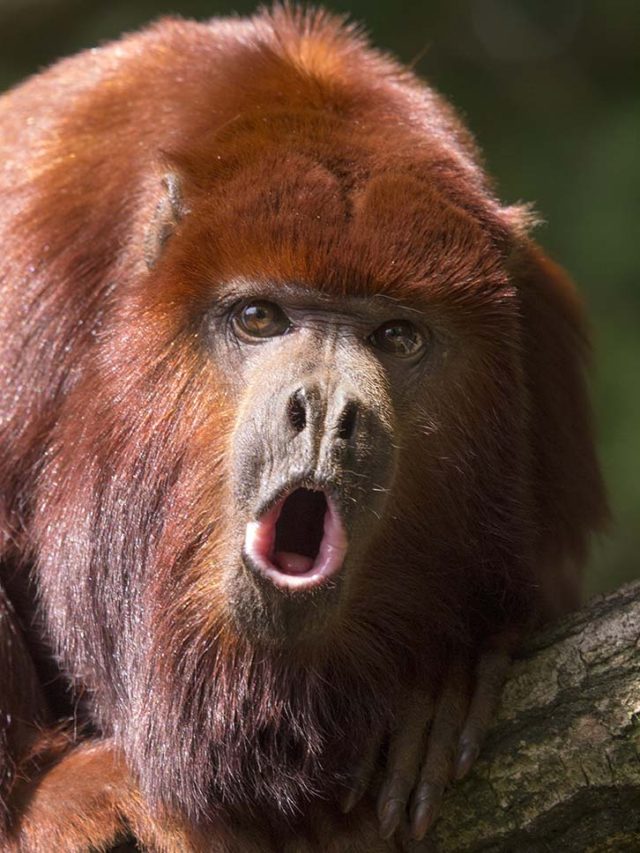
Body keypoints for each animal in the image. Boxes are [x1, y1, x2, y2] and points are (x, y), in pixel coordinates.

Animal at [0, 6, 607, 851]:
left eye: (397, 336)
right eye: (259, 317)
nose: (325, 410)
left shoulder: (539, 349)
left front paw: (440, 678)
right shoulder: (28, 269)